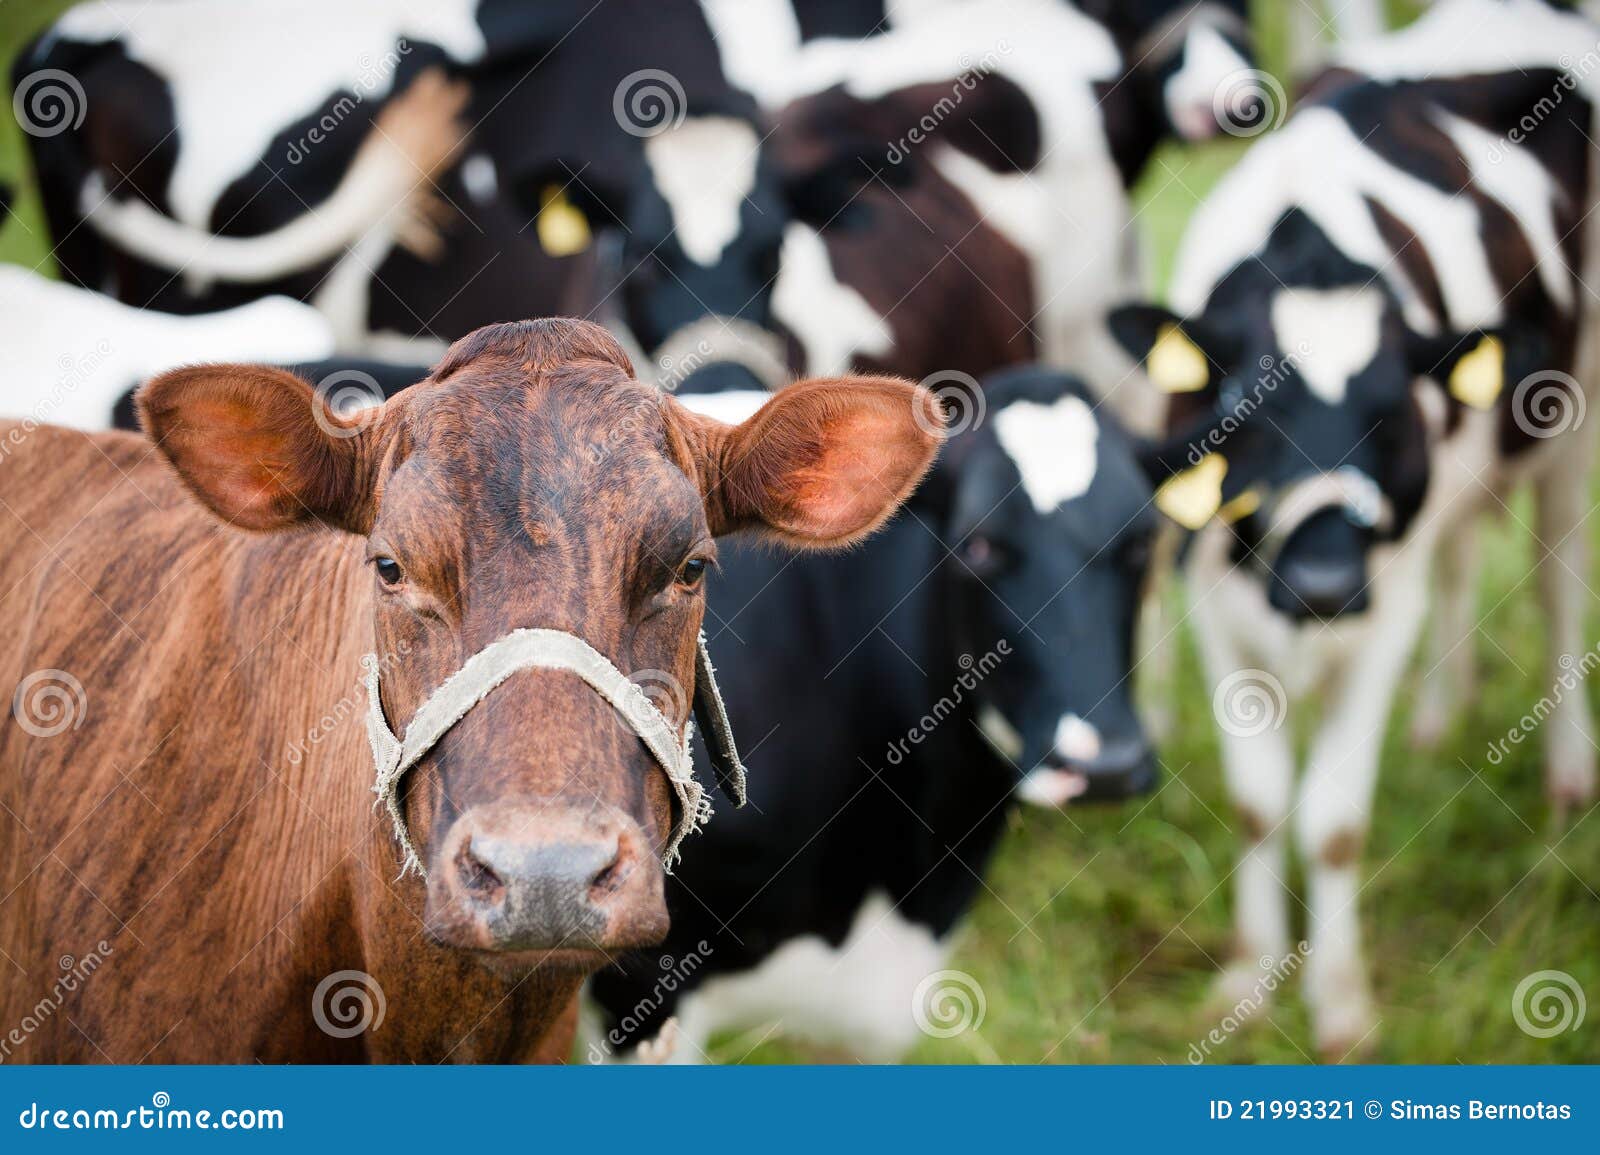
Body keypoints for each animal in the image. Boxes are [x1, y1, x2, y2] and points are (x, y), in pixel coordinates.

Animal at [1108, 0, 1600, 1056]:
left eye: (1392, 415)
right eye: (1239, 416)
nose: (1326, 583)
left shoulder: (1382, 611)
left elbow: (1330, 822)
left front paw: (1338, 1005)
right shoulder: (1215, 603)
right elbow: (1259, 806)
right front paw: (1247, 981)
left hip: (1574, 423)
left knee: (1556, 580)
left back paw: (1567, 774)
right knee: (1459, 556)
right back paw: (1438, 717)